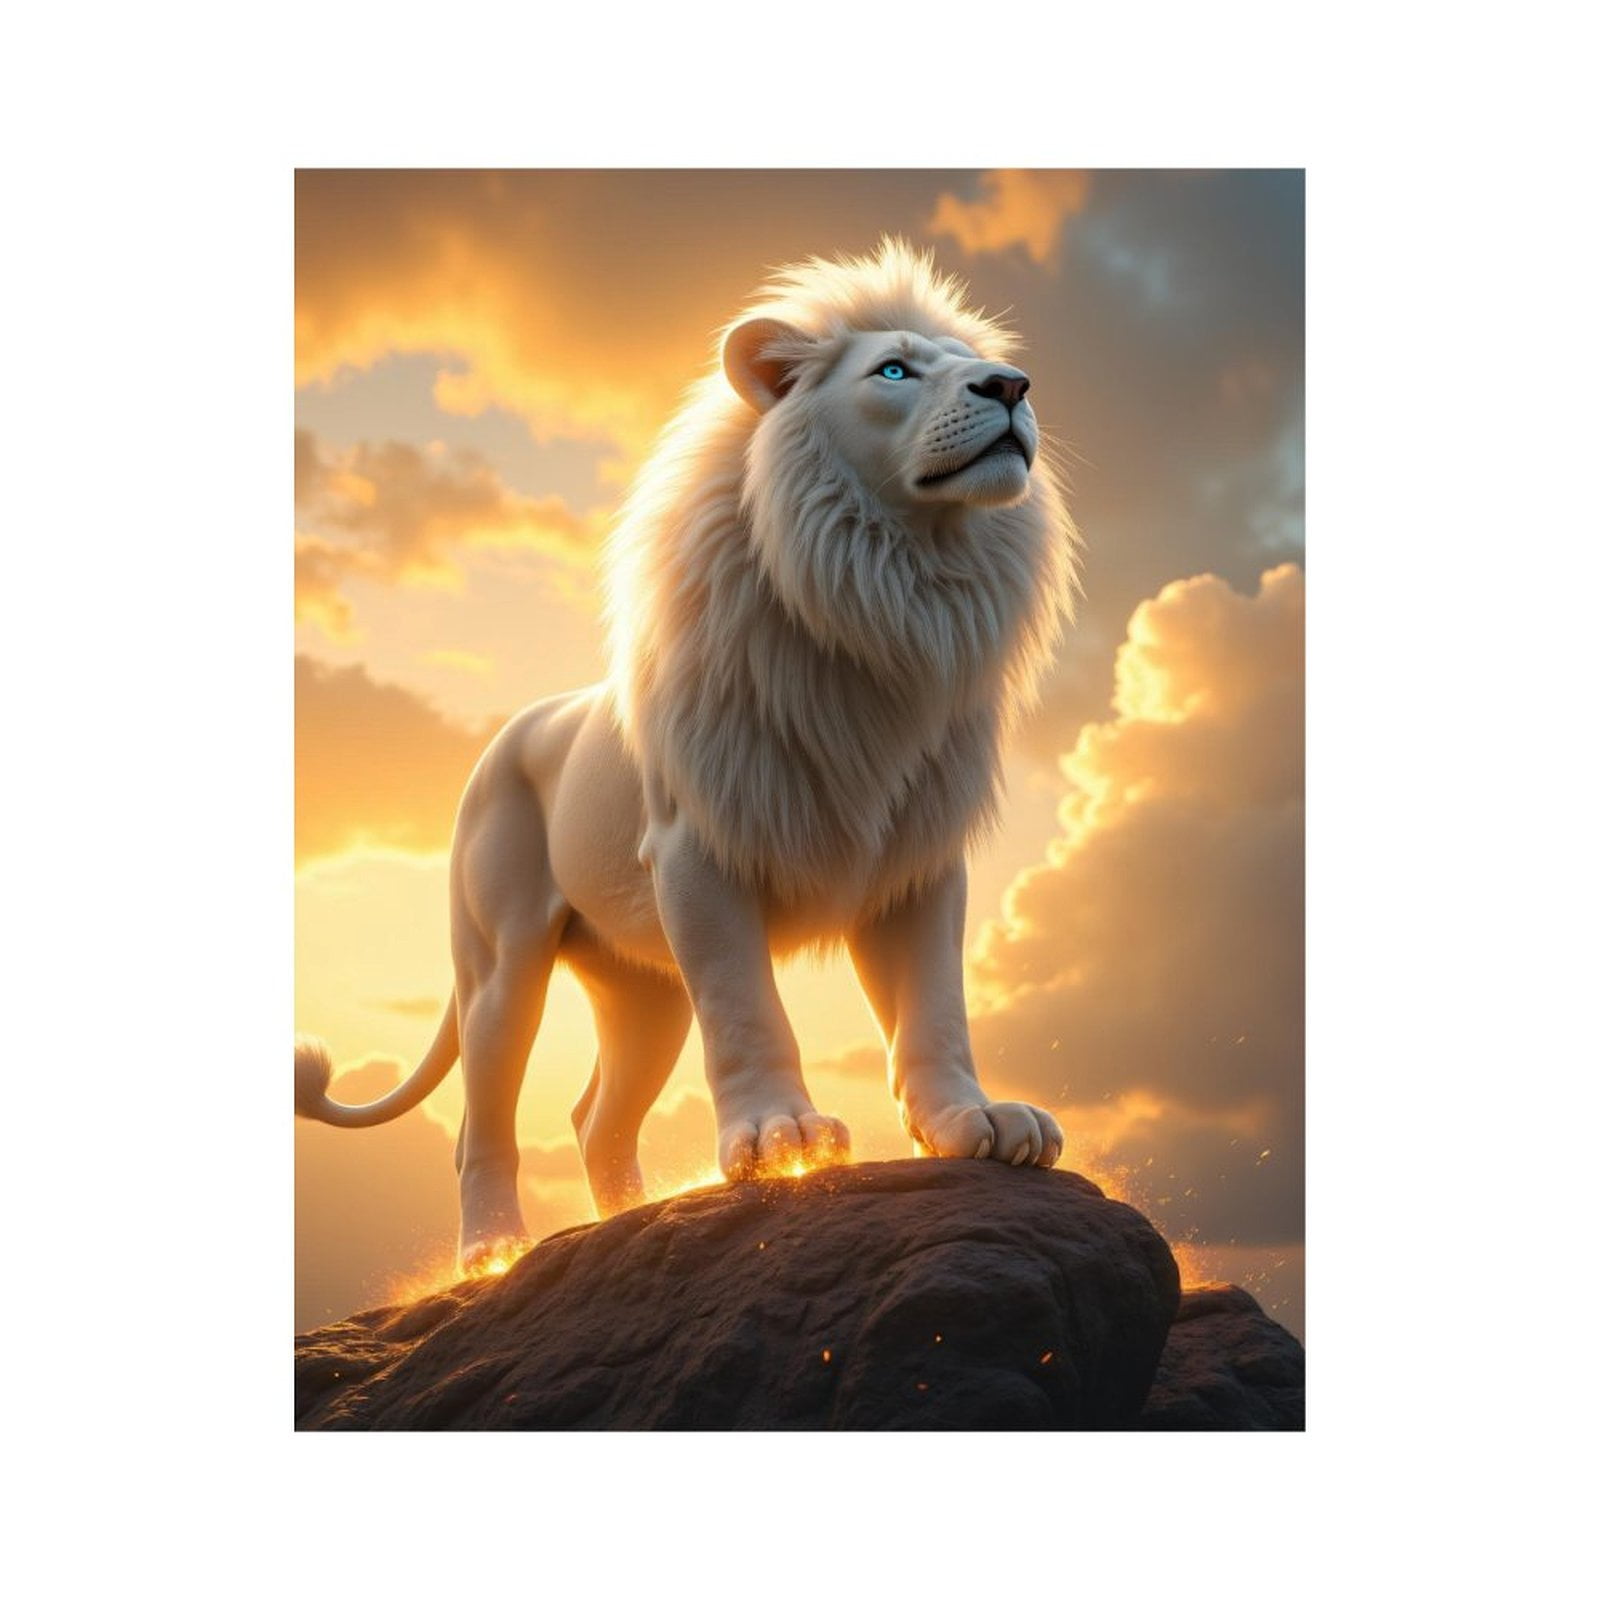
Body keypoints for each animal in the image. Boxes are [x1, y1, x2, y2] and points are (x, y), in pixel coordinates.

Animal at [296, 238, 1082, 1270]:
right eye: (894, 371)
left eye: (976, 362)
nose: (1013, 385)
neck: (888, 595)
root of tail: (504, 734)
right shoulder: (698, 852)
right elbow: (750, 1009)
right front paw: (782, 1139)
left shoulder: (915, 860)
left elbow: (934, 1008)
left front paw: (973, 1123)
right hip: (501, 964)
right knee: (483, 1123)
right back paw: (495, 1252)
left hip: (645, 993)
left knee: (596, 1118)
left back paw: (626, 1224)